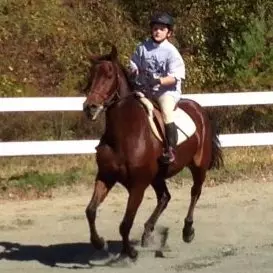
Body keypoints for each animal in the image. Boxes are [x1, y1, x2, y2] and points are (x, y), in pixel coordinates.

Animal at [82, 45, 222, 258]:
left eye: (109, 75)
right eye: (92, 74)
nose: (90, 107)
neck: (125, 133)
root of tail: (200, 110)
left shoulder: (138, 185)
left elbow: (126, 223)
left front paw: (129, 252)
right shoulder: (106, 176)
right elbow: (90, 210)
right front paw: (99, 243)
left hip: (199, 167)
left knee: (195, 192)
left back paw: (187, 231)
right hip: (158, 176)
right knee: (164, 197)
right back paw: (148, 232)